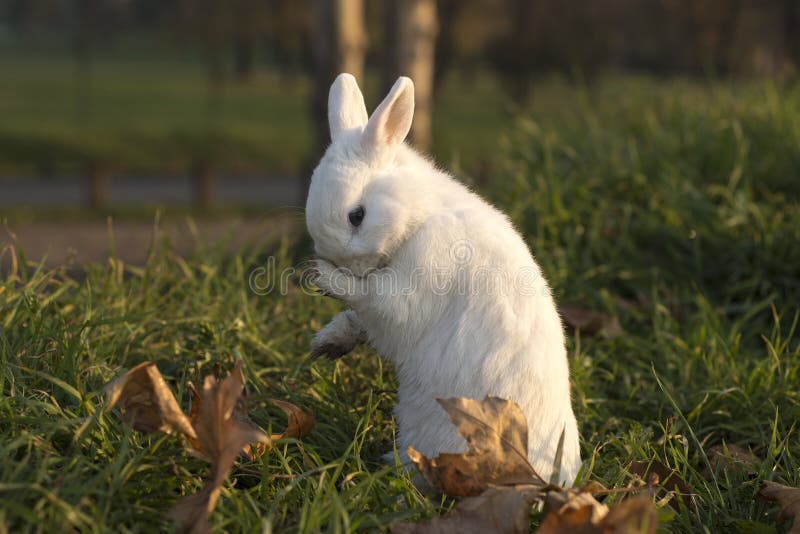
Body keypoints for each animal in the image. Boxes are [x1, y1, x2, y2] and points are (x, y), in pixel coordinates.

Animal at [305, 73, 581, 485]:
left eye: (357, 216)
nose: (341, 263)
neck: (419, 215)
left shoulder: (413, 285)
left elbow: (373, 300)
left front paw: (322, 277)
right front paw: (327, 342)